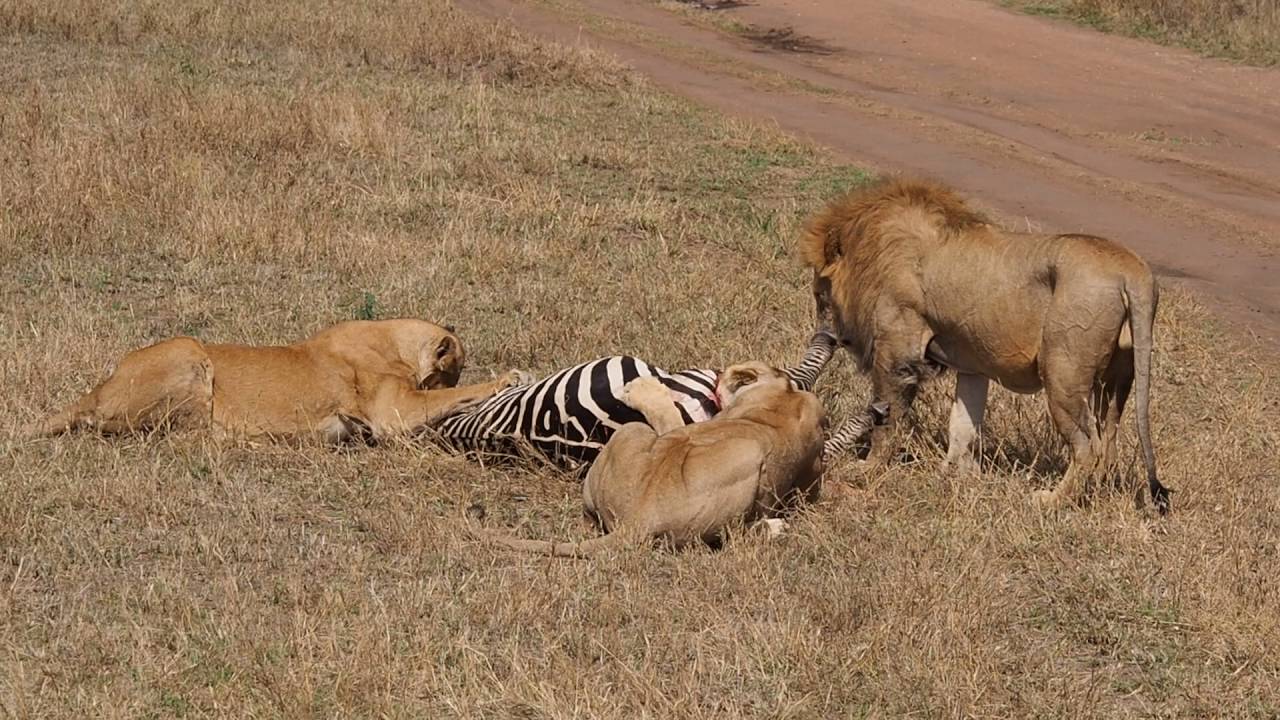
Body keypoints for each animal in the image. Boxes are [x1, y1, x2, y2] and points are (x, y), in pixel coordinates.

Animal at [36, 319, 529, 443]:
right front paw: (509, 377)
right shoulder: (393, 412)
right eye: (451, 371)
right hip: (189, 350)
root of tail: (97, 389)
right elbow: (463, 394)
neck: (395, 341)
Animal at [800, 178, 1169, 514]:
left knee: (1087, 446)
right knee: (1108, 441)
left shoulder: (897, 350)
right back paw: (1095, 496)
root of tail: (1131, 272)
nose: (827, 336)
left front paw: (867, 467)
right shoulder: (972, 365)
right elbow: (963, 425)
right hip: (1115, 381)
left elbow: (887, 420)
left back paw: (1051, 500)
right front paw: (954, 476)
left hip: (1063, 373)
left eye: (820, 294)